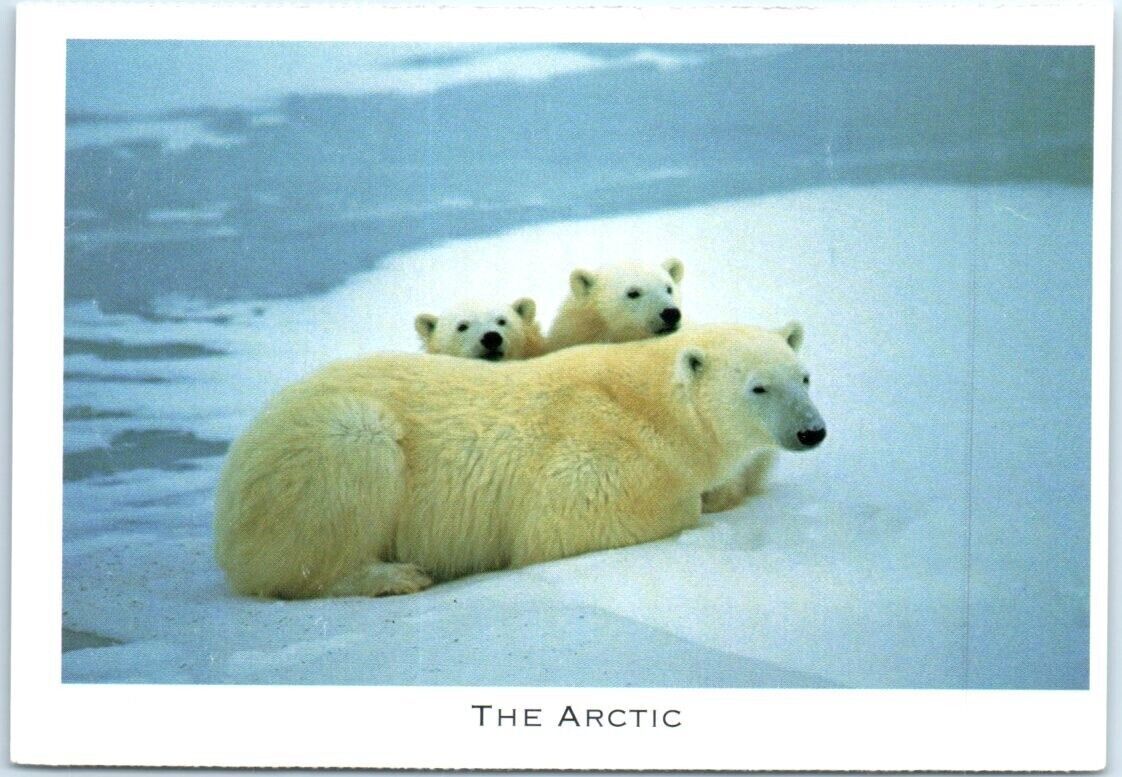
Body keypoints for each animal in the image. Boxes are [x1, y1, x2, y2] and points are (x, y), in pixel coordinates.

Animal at [213, 321, 825, 599]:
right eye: (758, 387)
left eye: (804, 376)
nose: (812, 431)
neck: (646, 402)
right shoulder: (589, 452)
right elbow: (562, 522)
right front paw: (697, 499)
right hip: (330, 448)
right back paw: (396, 575)